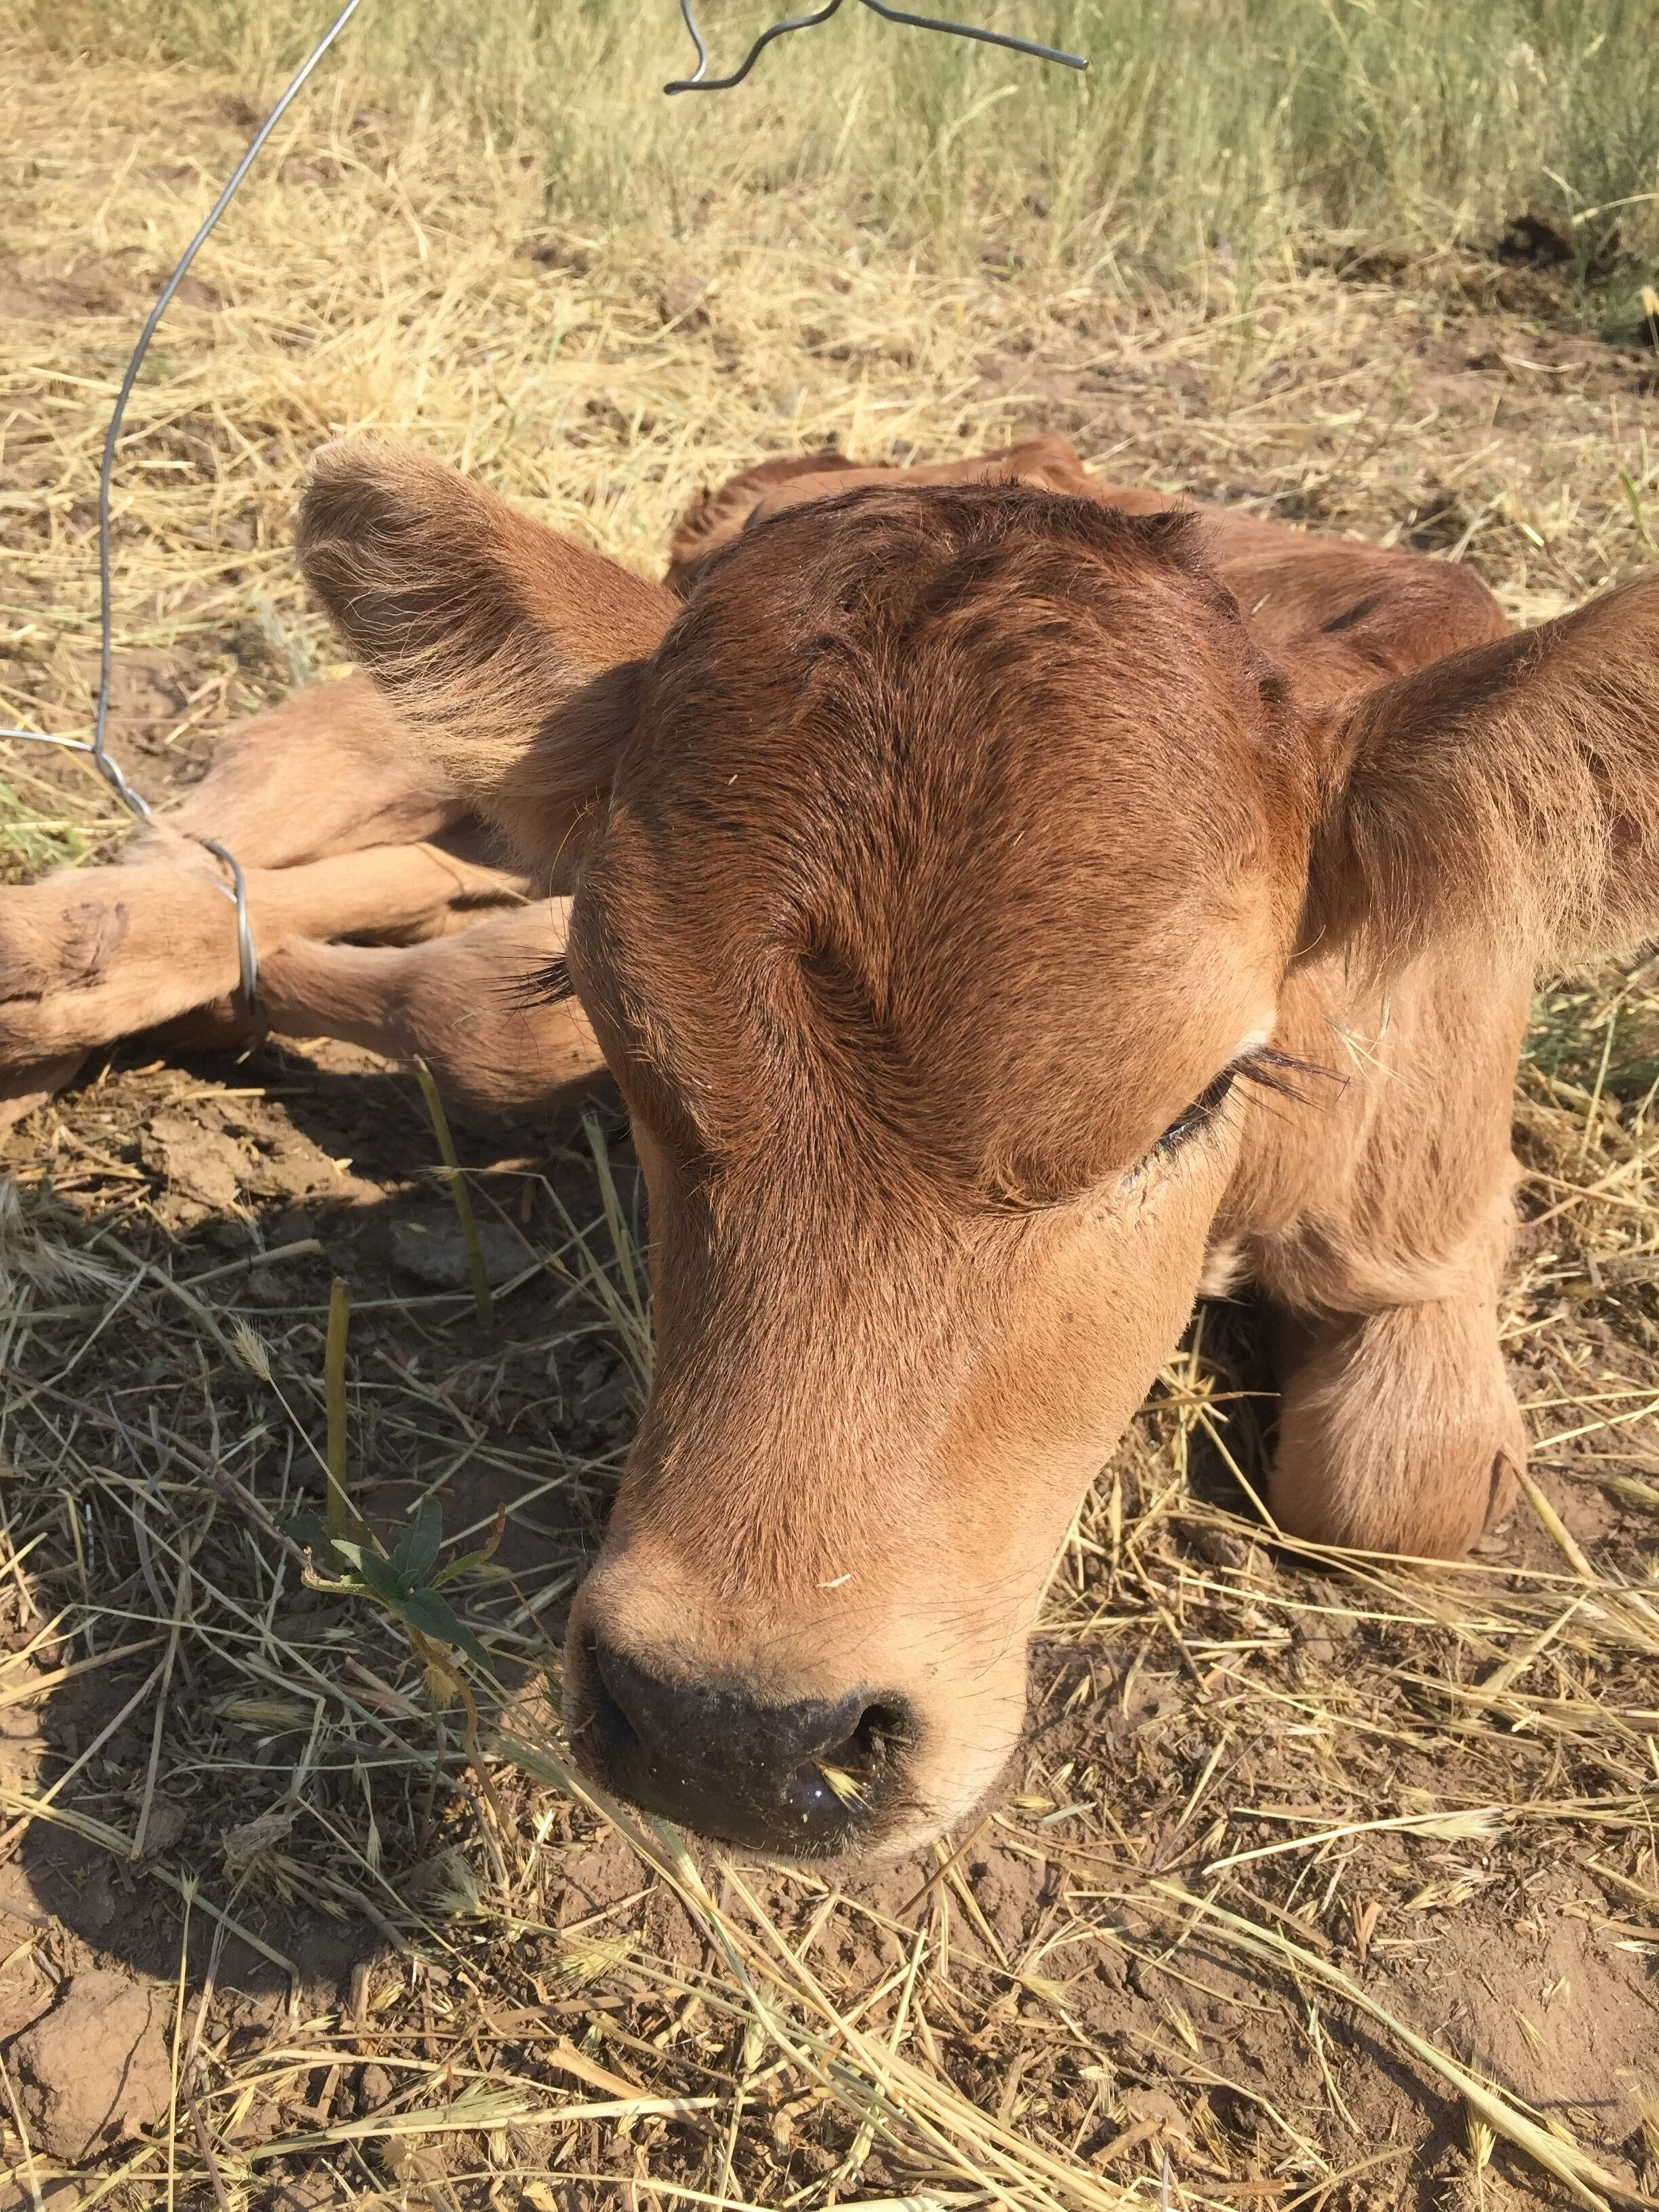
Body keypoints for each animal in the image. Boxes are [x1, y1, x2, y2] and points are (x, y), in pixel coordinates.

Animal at [7, 435, 1657, 1858]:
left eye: (1202, 1095)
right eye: (631, 1022)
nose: (723, 1735)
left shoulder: (1428, 1225)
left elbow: (1395, 1494)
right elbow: (484, 1005)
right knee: (306, 779)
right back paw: (63, 952)